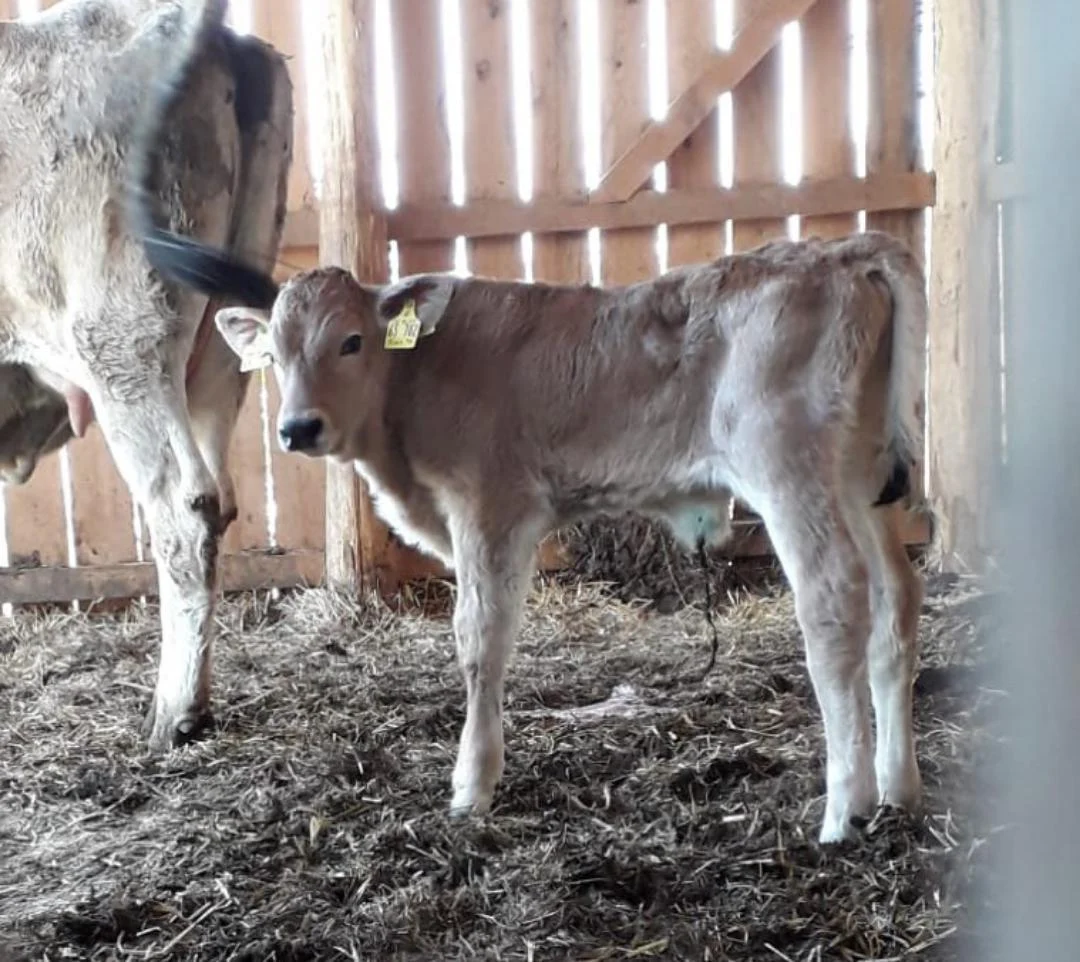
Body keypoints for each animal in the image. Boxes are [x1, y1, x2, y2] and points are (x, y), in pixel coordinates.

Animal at [214, 231, 928, 844]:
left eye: (352, 341)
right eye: (274, 354)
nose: (298, 428)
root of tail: (842, 252)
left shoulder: (489, 508)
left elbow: (480, 640)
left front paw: (472, 786)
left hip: (787, 467)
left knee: (834, 600)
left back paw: (845, 809)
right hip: (859, 473)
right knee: (896, 594)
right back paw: (898, 787)